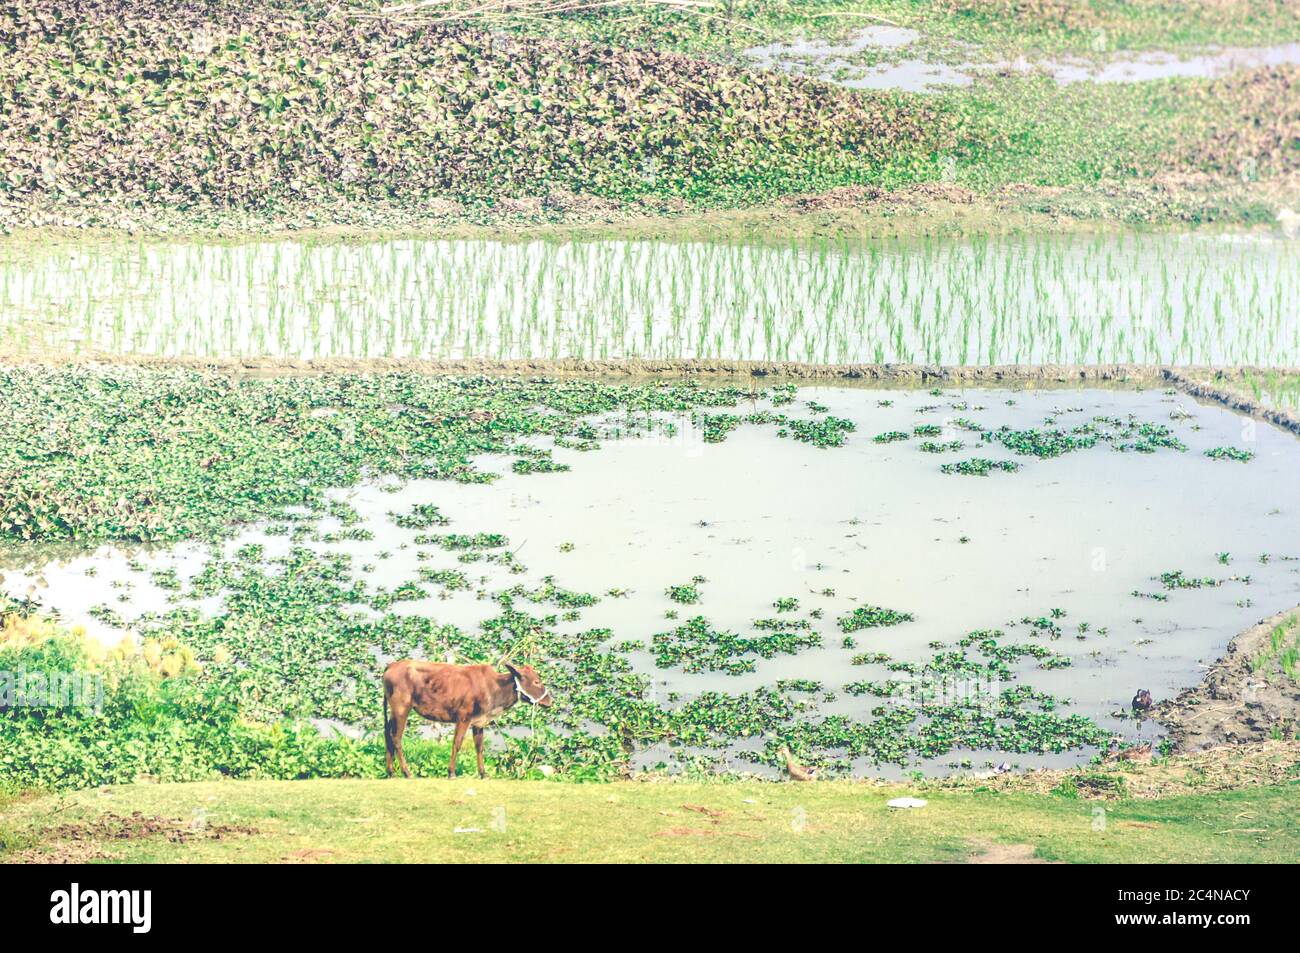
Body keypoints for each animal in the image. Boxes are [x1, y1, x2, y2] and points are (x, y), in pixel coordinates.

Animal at [383, 659, 552, 779]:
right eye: (537, 681)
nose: (550, 701)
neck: (493, 688)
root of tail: (392, 665)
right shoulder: (463, 717)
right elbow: (457, 743)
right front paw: (451, 773)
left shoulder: (478, 723)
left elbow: (479, 747)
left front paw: (483, 774)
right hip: (401, 709)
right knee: (396, 738)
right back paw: (407, 772)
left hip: (393, 712)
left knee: (388, 736)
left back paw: (391, 772)